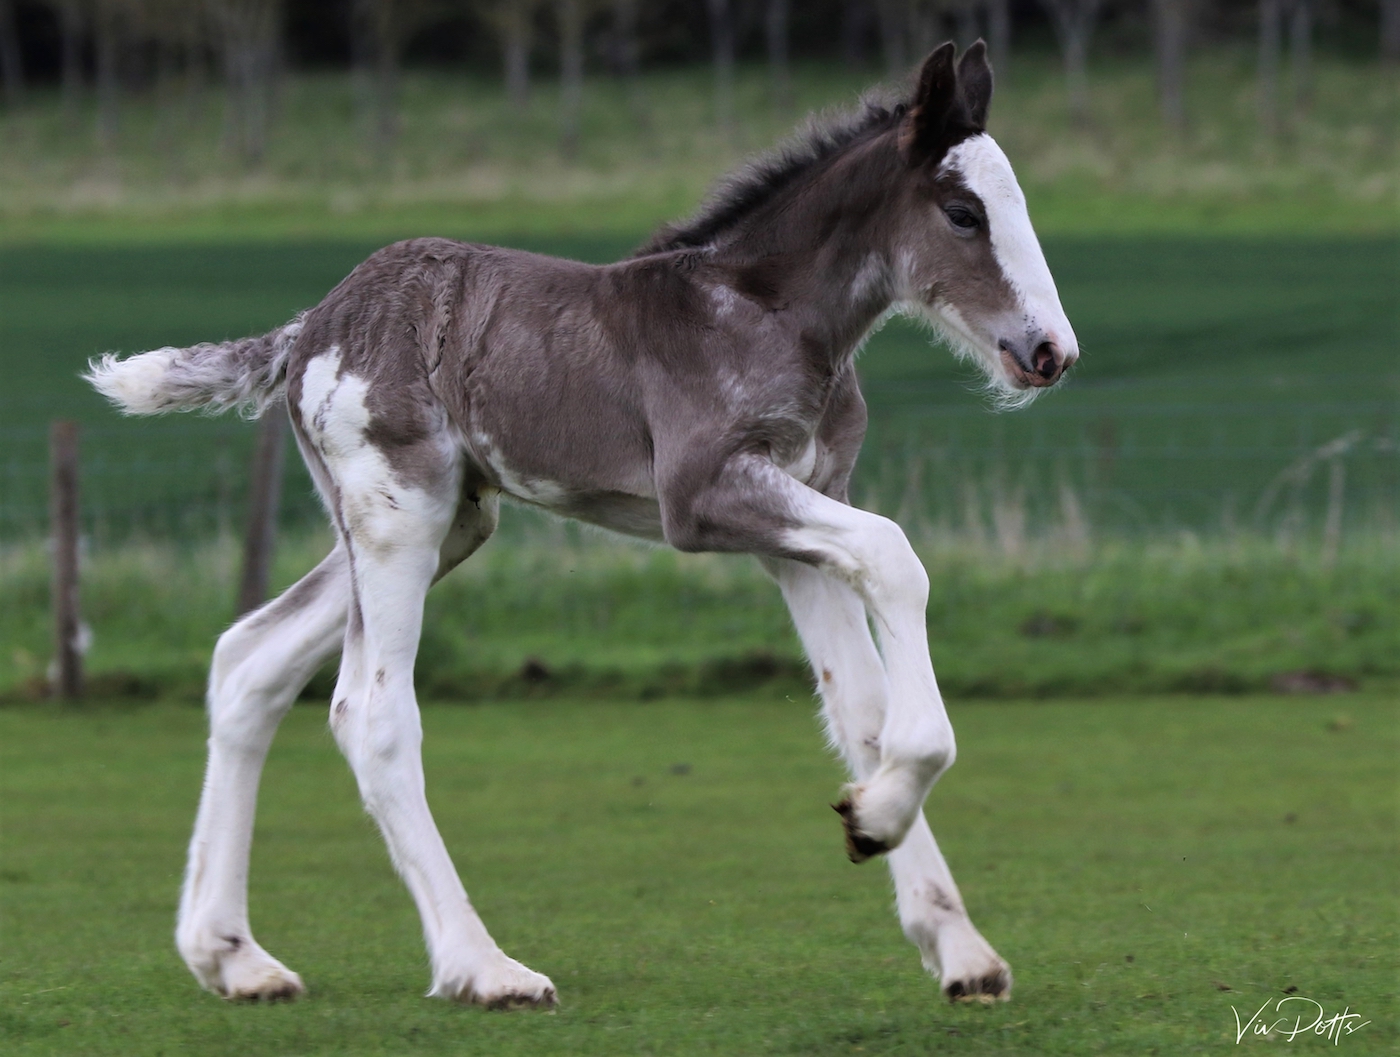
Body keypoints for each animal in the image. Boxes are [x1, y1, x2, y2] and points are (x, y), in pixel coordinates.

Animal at [86, 41, 1077, 1010]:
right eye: (962, 212)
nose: (1050, 352)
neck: (766, 315)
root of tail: (308, 327)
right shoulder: (704, 497)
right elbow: (896, 558)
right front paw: (879, 813)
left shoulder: (795, 527)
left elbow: (861, 709)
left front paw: (939, 920)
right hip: (399, 514)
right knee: (368, 713)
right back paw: (485, 969)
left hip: (447, 522)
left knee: (247, 660)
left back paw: (232, 957)